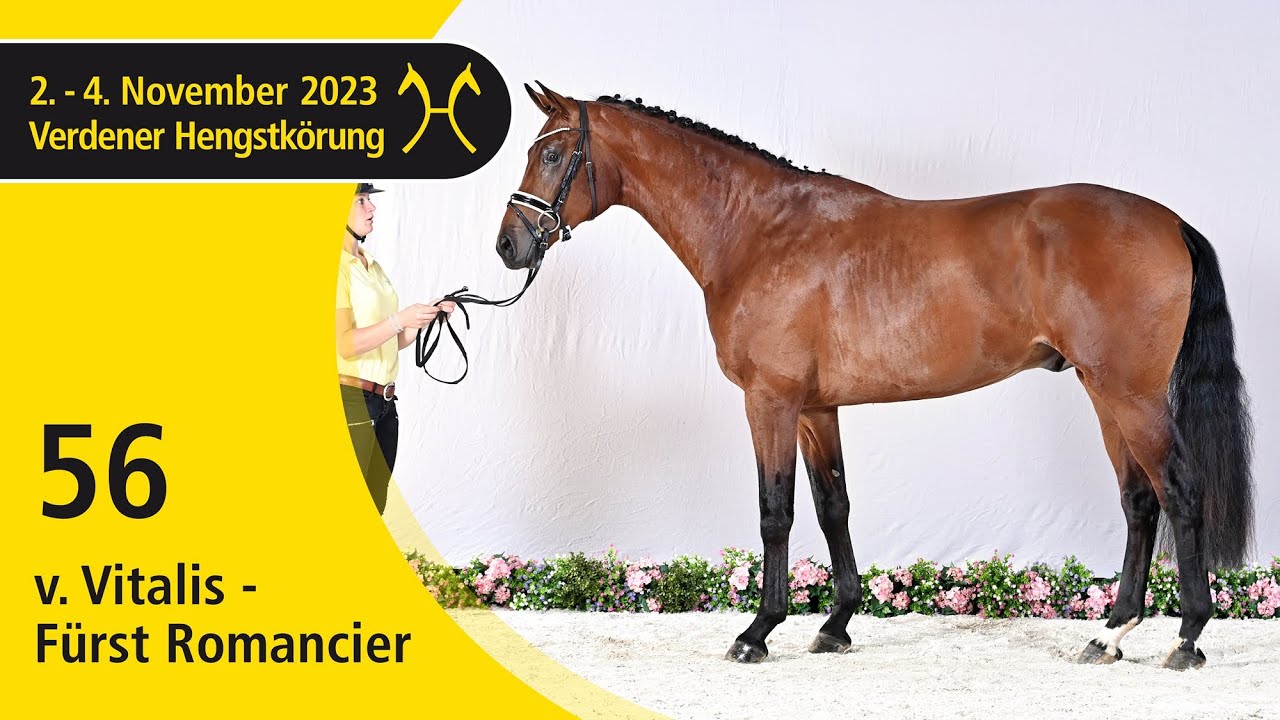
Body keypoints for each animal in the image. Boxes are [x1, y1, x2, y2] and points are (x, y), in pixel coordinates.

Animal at [495, 82, 1254, 670]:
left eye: (553, 154)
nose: (509, 244)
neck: (758, 232)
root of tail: (1169, 222)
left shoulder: (768, 403)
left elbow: (775, 513)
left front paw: (757, 632)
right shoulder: (813, 409)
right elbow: (833, 505)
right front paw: (835, 625)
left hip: (1132, 394)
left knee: (1180, 492)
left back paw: (1186, 638)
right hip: (1103, 391)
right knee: (1139, 501)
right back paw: (1111, 634)